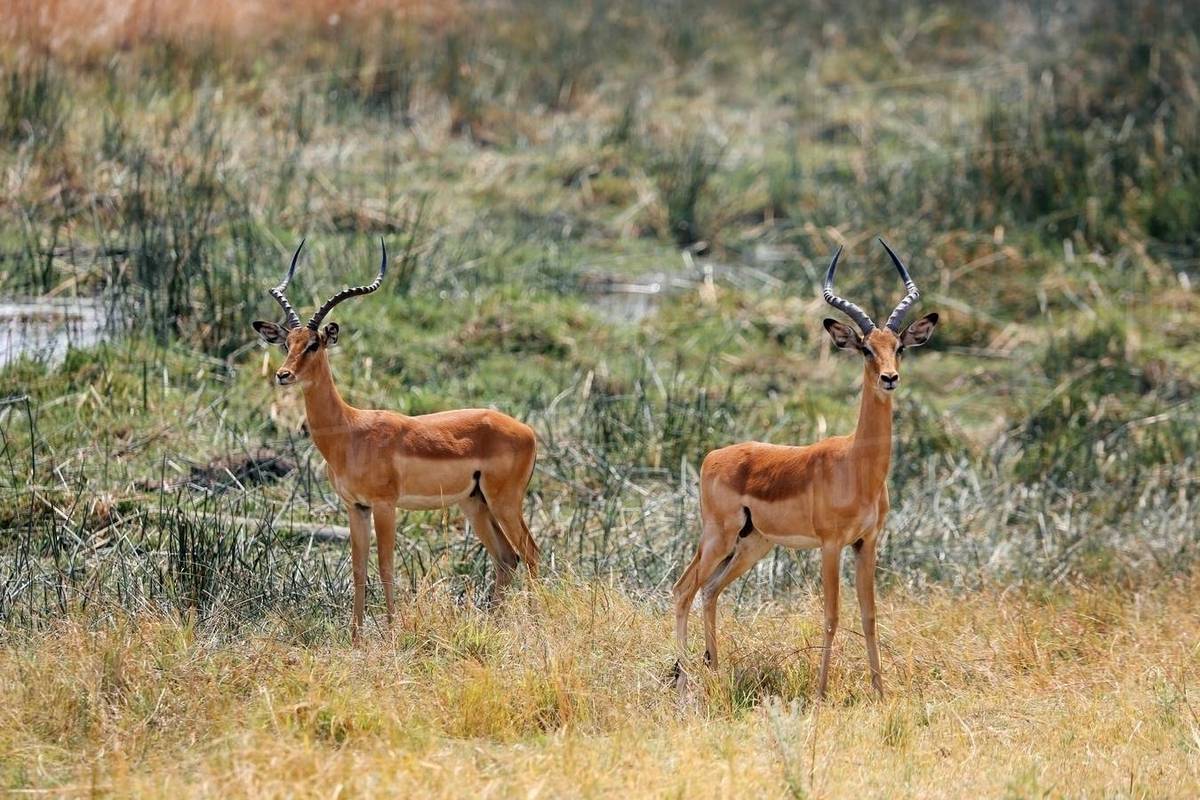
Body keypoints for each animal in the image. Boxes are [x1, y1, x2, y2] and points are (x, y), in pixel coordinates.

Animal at [252, 239, 539, 641]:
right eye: (286, 344)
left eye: (313, 345)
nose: (283, 375)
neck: (350, 431)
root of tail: (527, 431)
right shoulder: (356, 507)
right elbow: (358, 569)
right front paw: (356, 638)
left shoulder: (385, 505)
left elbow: (386, 565)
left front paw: (390, 632)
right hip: (475, 504)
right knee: (507, 559)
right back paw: (494, 625)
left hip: (505, 502)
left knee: (531, 554)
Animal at [673, 239, 938, 699]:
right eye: (866, 348)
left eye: (899, 346)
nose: (889, 378)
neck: (857, 467)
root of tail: (713, 455)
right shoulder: (831, 545)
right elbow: (831, 616)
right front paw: (820, 692)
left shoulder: (866, 543)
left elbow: (869, 616)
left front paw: (879, 692)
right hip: (717, 537)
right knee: (683, 590)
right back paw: (684, 677)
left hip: (752, 544)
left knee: (709, 590)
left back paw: (714, 668)